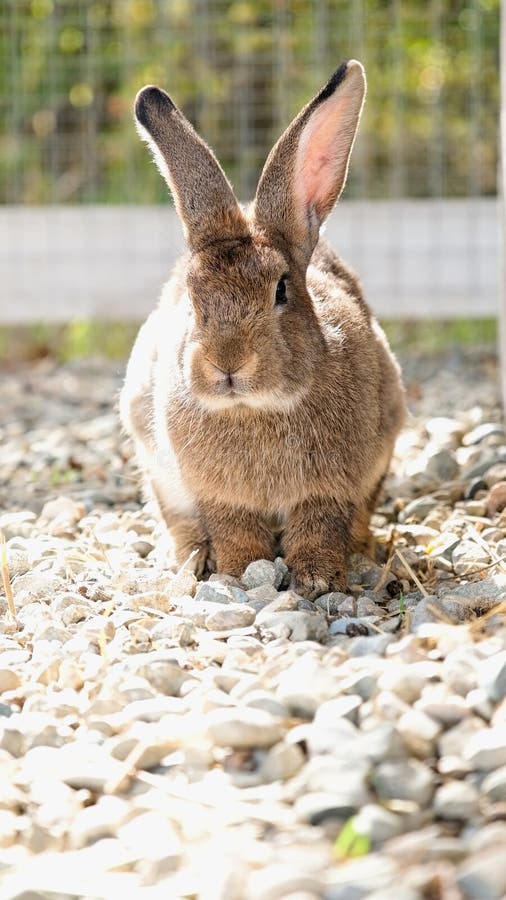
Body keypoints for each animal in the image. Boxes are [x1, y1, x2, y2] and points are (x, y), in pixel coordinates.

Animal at [120, 60, 406, 599]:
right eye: (192, 298)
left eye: (281, 290)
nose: (227, 363)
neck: (256, 408)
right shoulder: (220, 497)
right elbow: (235, 530)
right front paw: (239, 573)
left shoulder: (329, 490)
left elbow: (319, 528)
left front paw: (319, 580)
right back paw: (194, 559)